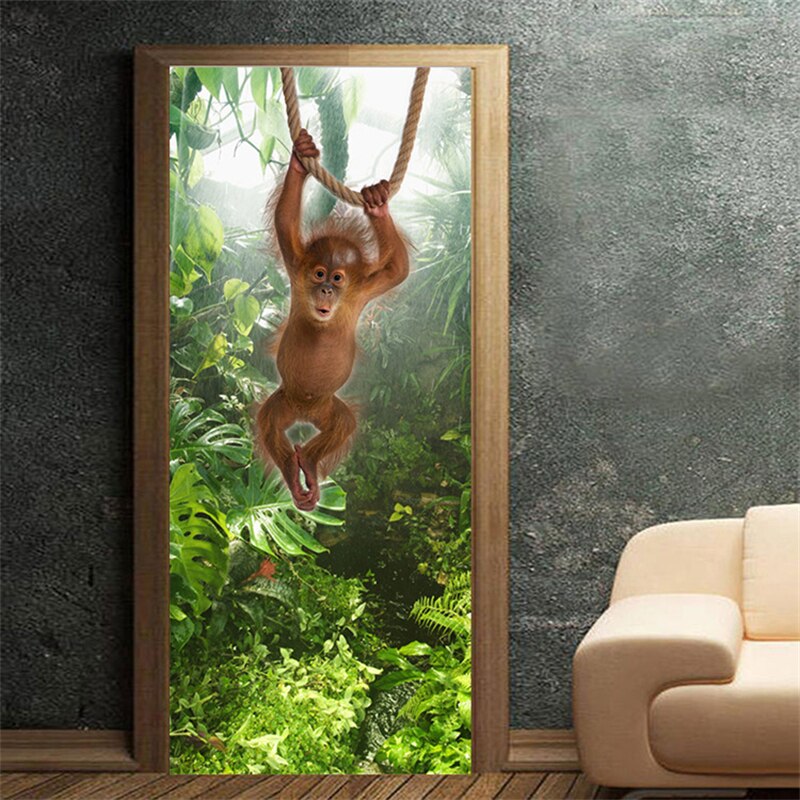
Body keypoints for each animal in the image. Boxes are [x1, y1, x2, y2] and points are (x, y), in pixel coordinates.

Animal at [256, 129, 410, 511]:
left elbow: (399, 269)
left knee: (342, 426)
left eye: (338, 278)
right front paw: (301, 159)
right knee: (270, 425)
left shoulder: (366, 289)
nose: (326, 289)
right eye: (319, 273)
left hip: (328, 410)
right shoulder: (296, 266)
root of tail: (305, 412)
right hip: (283, 401)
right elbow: (285, 221)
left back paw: (309, 464)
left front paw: (377, 203)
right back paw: (294, 476)